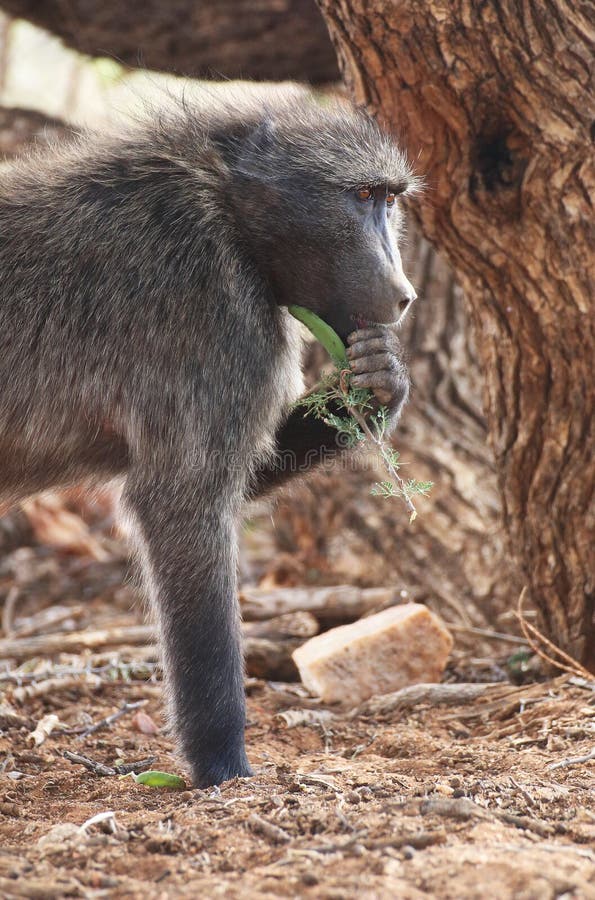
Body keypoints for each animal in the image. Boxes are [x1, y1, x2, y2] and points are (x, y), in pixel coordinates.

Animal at [0, 92, 418, 787]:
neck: (228, 209)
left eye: (390, 201)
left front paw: (380, 381)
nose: (404, 295)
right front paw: (223, 766)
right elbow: (182, 497)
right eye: (361, 195)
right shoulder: (214, 311)